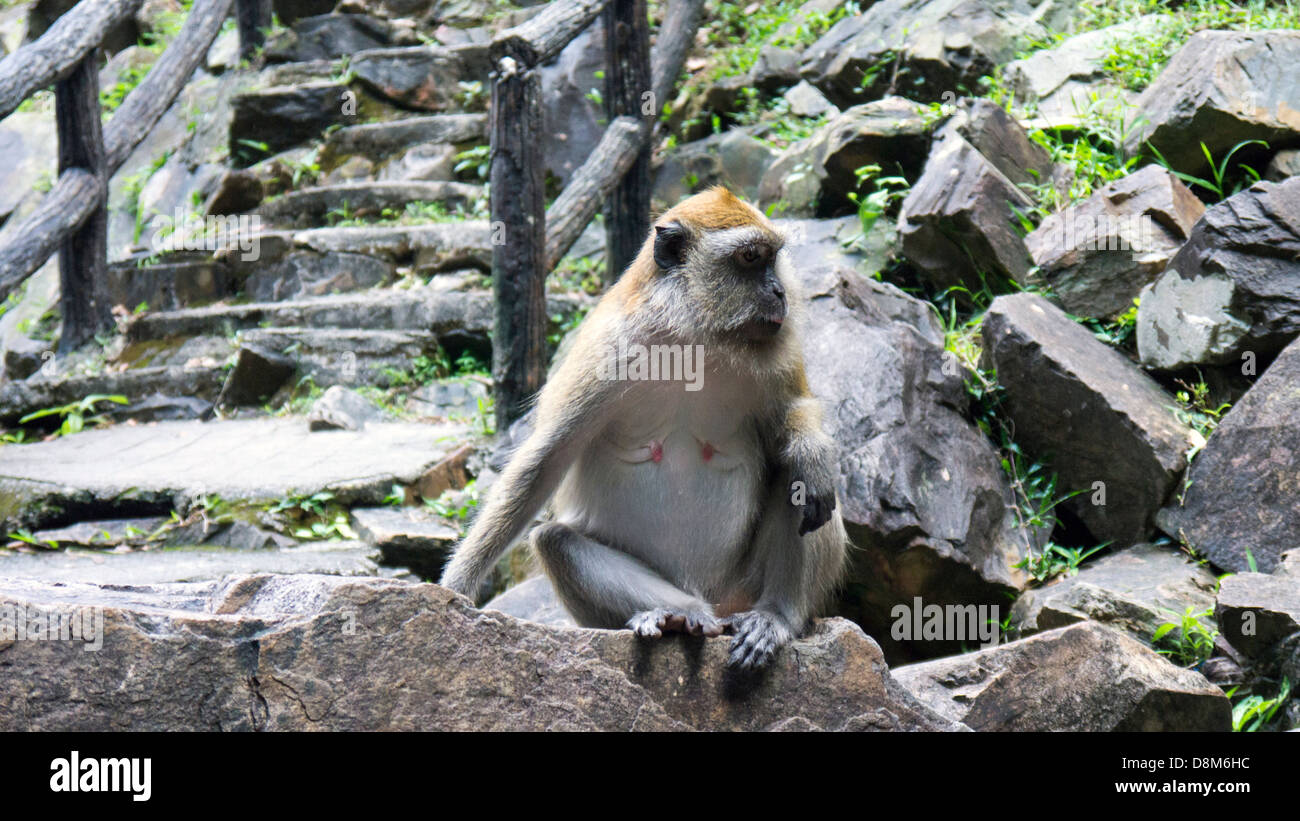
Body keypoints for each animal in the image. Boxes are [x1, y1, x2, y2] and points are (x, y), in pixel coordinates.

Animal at [440, 186, 848, 669]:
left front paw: (810, 449)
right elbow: (543, 465)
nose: (780, 291)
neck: (693, 340)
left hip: (742, 586)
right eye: (750, 258)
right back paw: (677, 613)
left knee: (800, 481)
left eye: (772, 259)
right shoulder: (604, 351)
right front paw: (455, 587)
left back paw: (775, 616)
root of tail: (719, 603)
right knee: (555, 541)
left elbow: (795, 413)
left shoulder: (776, 351)